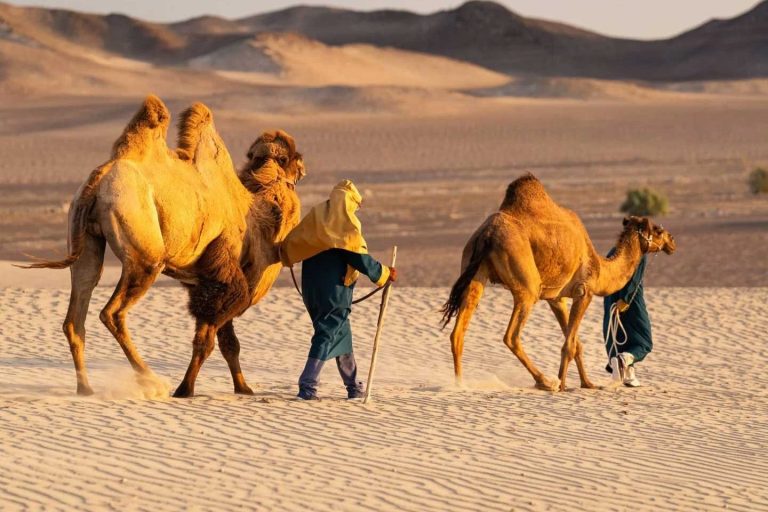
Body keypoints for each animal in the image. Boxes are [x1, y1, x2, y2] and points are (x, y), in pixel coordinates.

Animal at [24, 95, 304, 398]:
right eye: (288, 158)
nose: (303, 165)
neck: (256, 212)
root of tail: (98, 180)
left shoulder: (206, 279)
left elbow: (229, 342)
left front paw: (243, 388)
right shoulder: (224, 274)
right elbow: (208, 339)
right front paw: (185, 389)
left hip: (85, 240)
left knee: (77, 311)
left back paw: (86, 388)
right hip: (146, 255)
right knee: (112, 312)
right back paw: (152, 381)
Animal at [441, 173, 675, 392]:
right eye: (658, 230)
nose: (672, 241)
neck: (600, 267)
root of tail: (487, 235)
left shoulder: (556, 298)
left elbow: (576, 344)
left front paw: (587, 383)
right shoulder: (584, 291)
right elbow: (569, 345)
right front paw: (563, 385)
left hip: (475, 272)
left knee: (458, 332)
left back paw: (460, 384)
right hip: (526, 284)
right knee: (512, 336)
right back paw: (545, 381)